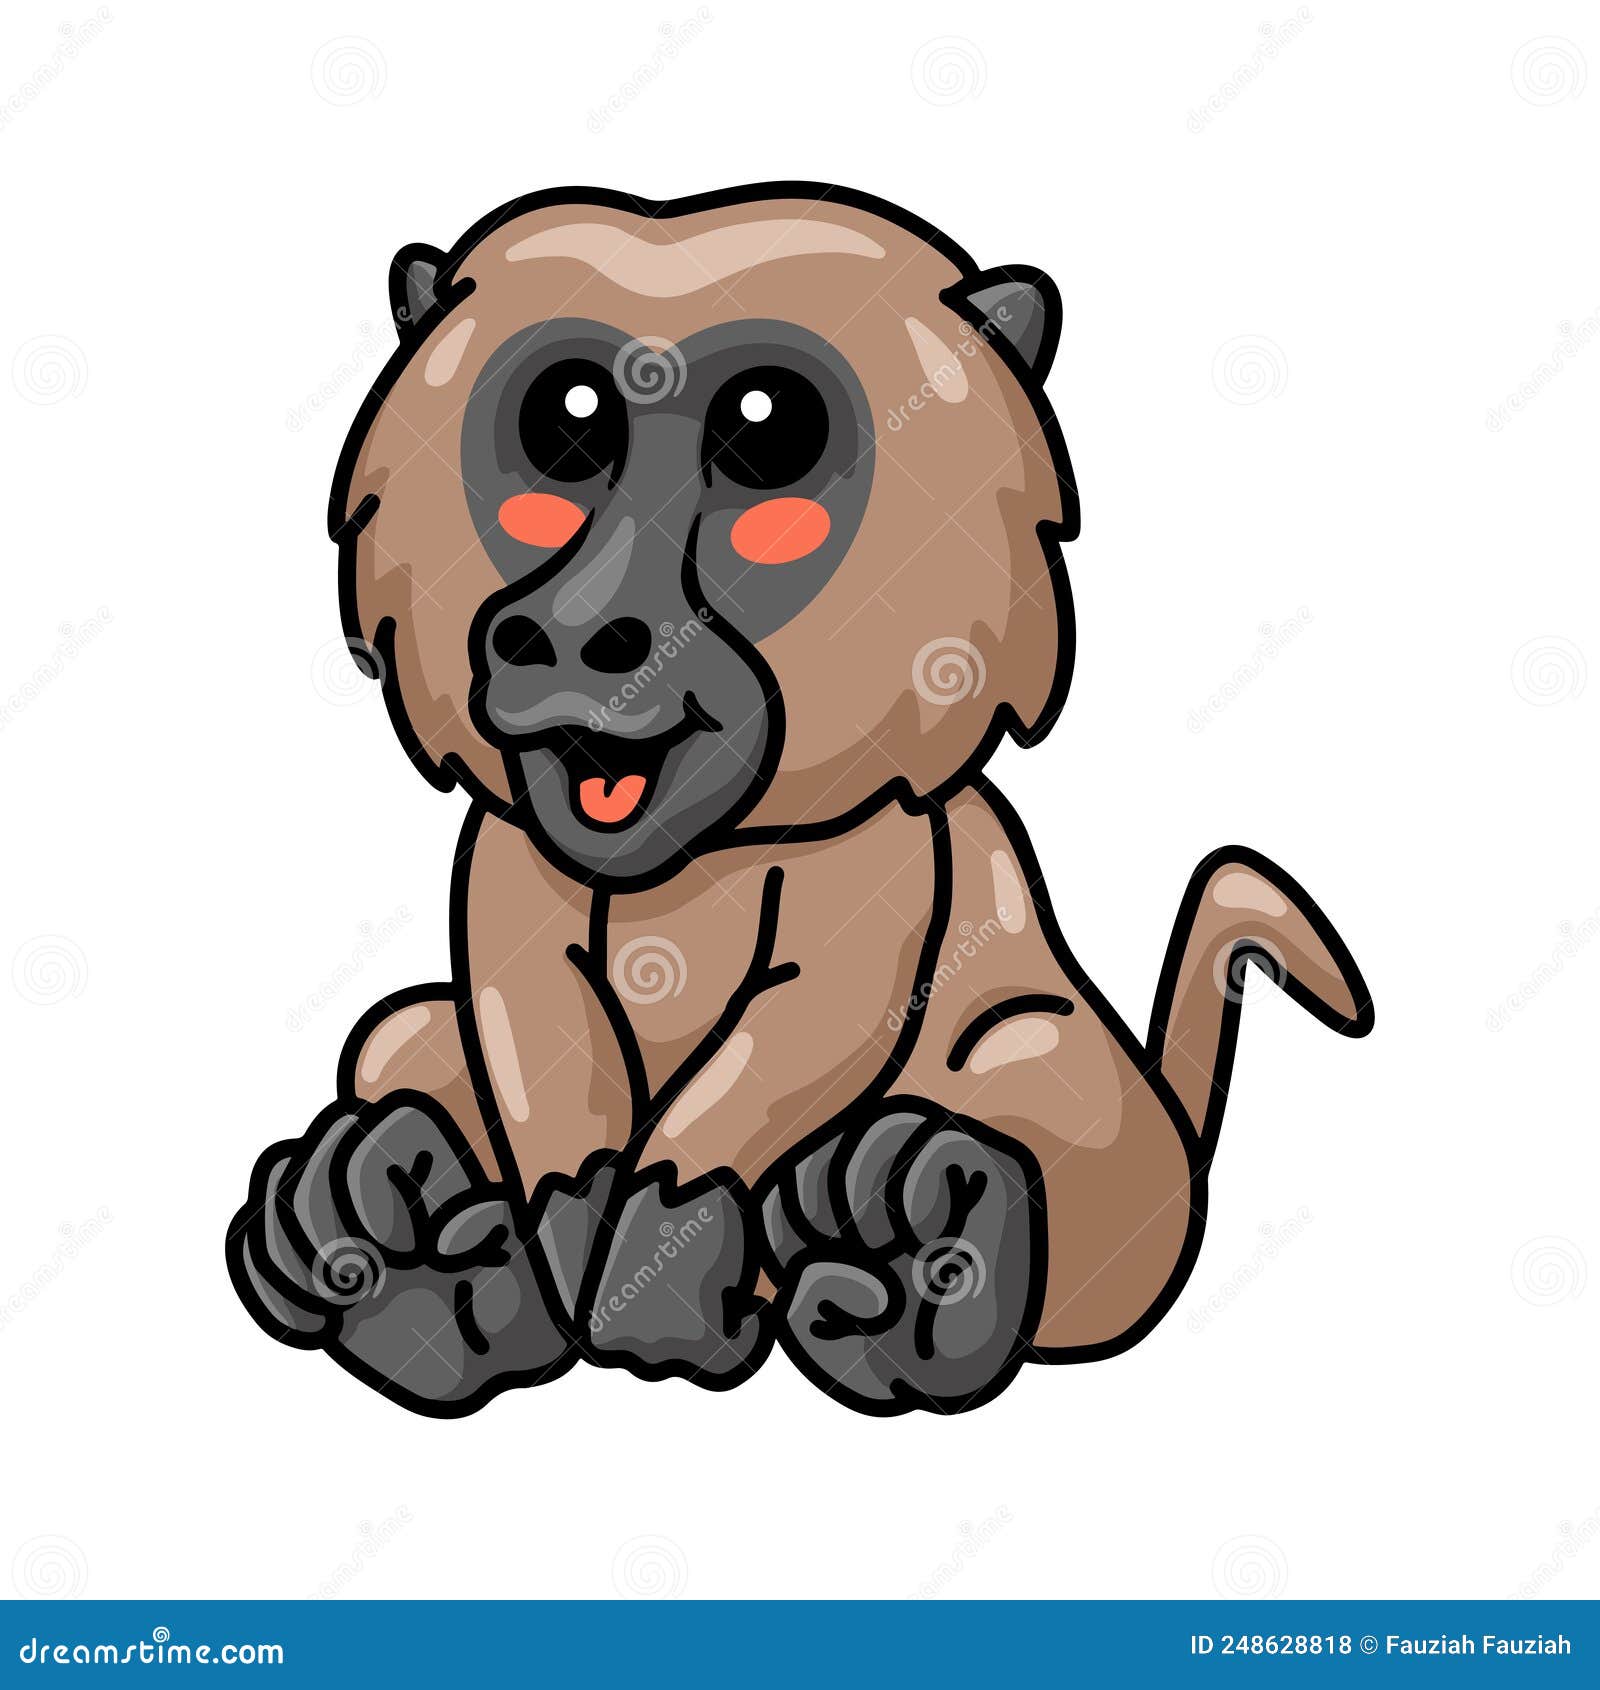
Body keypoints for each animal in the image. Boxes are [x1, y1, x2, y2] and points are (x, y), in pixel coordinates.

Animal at [226, 184, 1373, 1418]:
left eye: (768, 435)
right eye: (563, 427)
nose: (574, 632)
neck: (692, 866)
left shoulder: (876, 865)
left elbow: (781, 1044)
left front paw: (656, 1263)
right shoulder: (508, 862)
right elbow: (540, 1043)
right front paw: (562, 1245)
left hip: (1055, 1075)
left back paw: (917, 1258)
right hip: (402, 1037)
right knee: (407, 1040)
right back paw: (394, 1259)